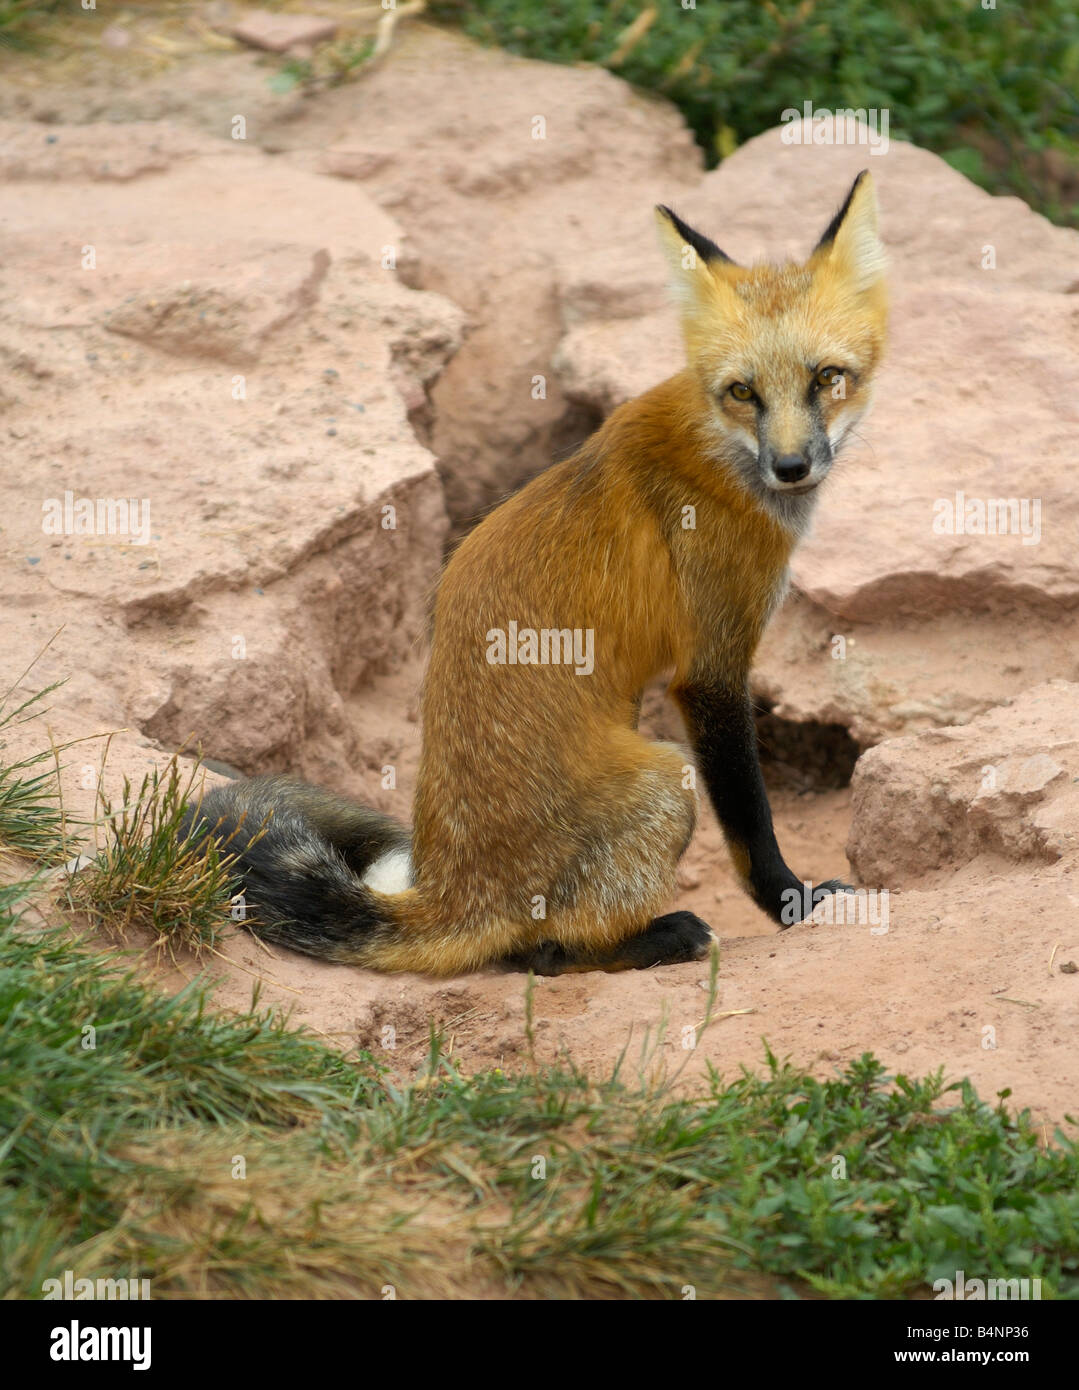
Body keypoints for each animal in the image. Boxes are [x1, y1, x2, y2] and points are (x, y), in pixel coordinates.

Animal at [183, 170, 887, 977]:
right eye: (743, 391)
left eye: (826, 378)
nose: (792, 466)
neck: (717, 450)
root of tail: (446, 892)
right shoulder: (711, 667)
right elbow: (750, 829)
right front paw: (790, 904)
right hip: (664, 775)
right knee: (542, 950)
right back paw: (658, 936)